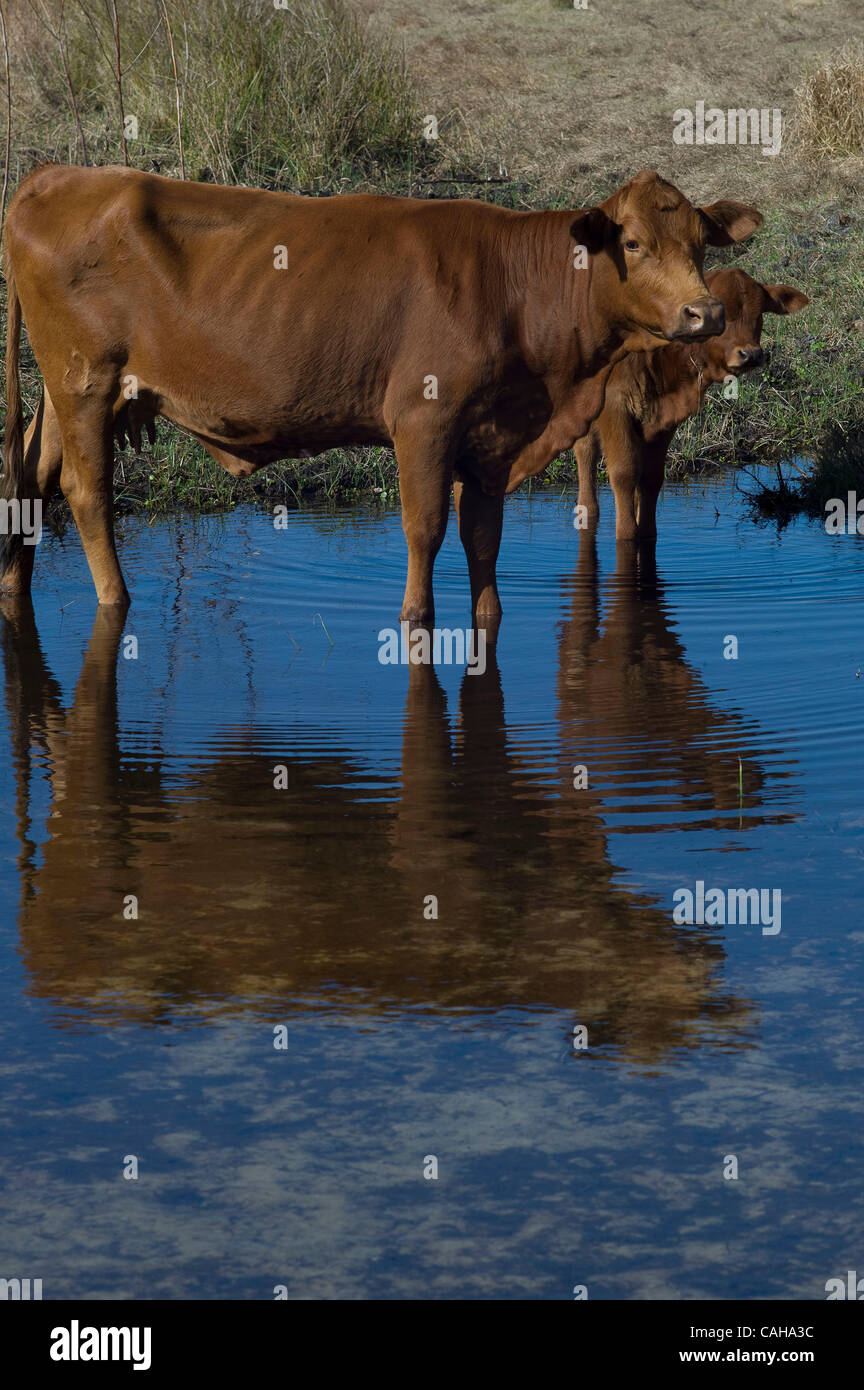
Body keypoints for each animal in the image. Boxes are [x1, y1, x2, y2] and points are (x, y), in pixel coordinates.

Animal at [1, 164, 761, 620]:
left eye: (701, 244)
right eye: (631, 243)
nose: (704, 314)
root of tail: (55, 177)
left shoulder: (495, 438)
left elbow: (482, 538)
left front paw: (487, 616)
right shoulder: (423, 420)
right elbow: (425, 530)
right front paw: (415, 617)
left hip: (65, 391)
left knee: (32, 474)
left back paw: (14, 586)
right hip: (86, 381)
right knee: (86, 491)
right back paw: (115, 600)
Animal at [574, 267, 809, 540]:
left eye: (759, 313)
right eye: (721, 315)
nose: (750, 354)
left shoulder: (663, 419)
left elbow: (651, 477)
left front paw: (647, 533)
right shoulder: (615, 408)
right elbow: (624, 473)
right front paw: (628, 534)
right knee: (586, 457)